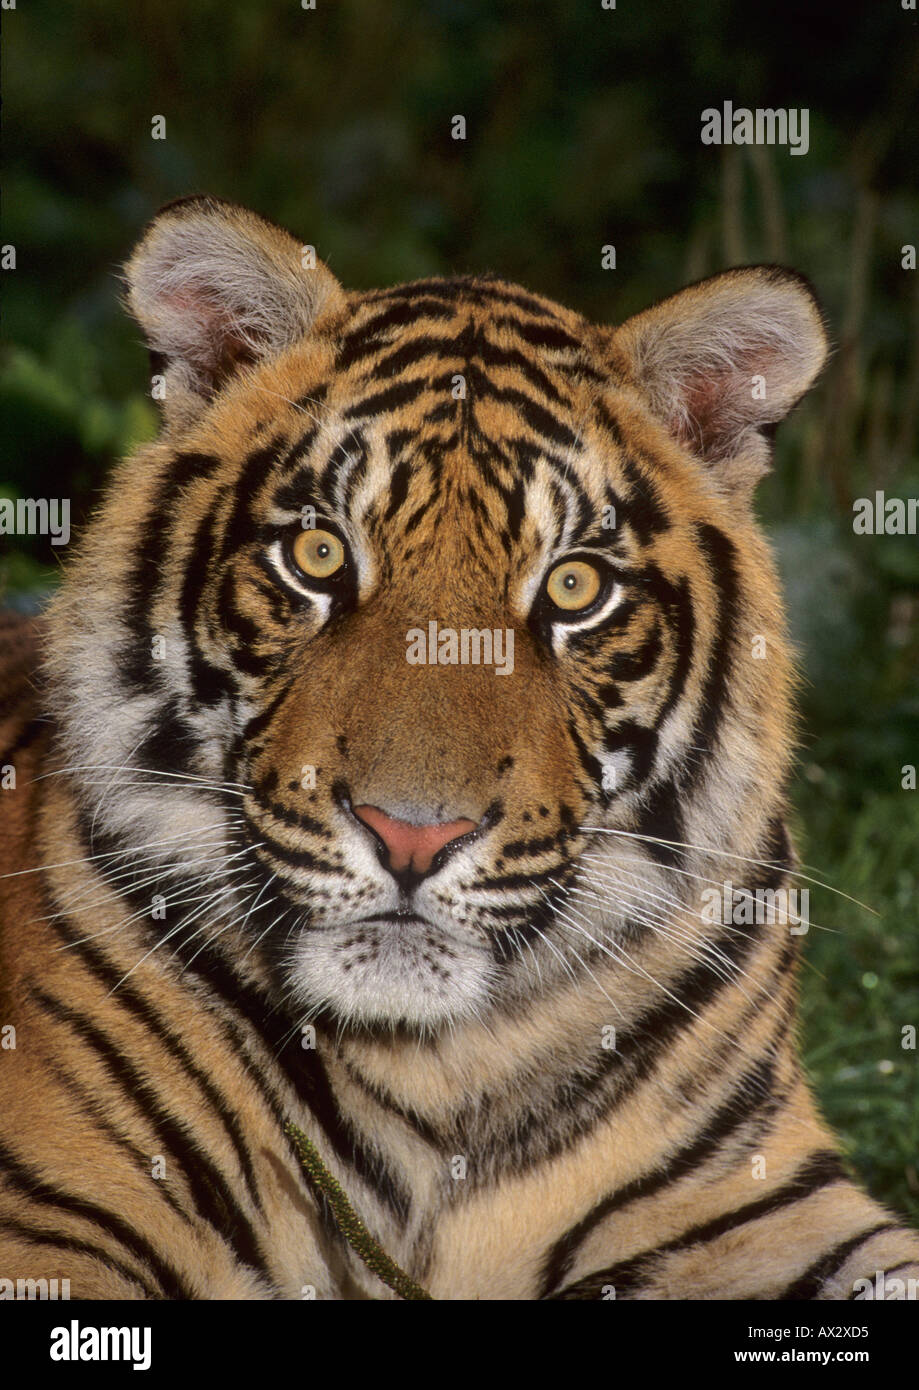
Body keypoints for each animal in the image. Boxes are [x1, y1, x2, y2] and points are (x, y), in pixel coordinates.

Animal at [1, 194, 917, 1302]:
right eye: (318, 556)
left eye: (573, 586)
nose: (410, 836)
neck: (432, 1072)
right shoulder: (57, 1214)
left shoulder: (758, 1201)